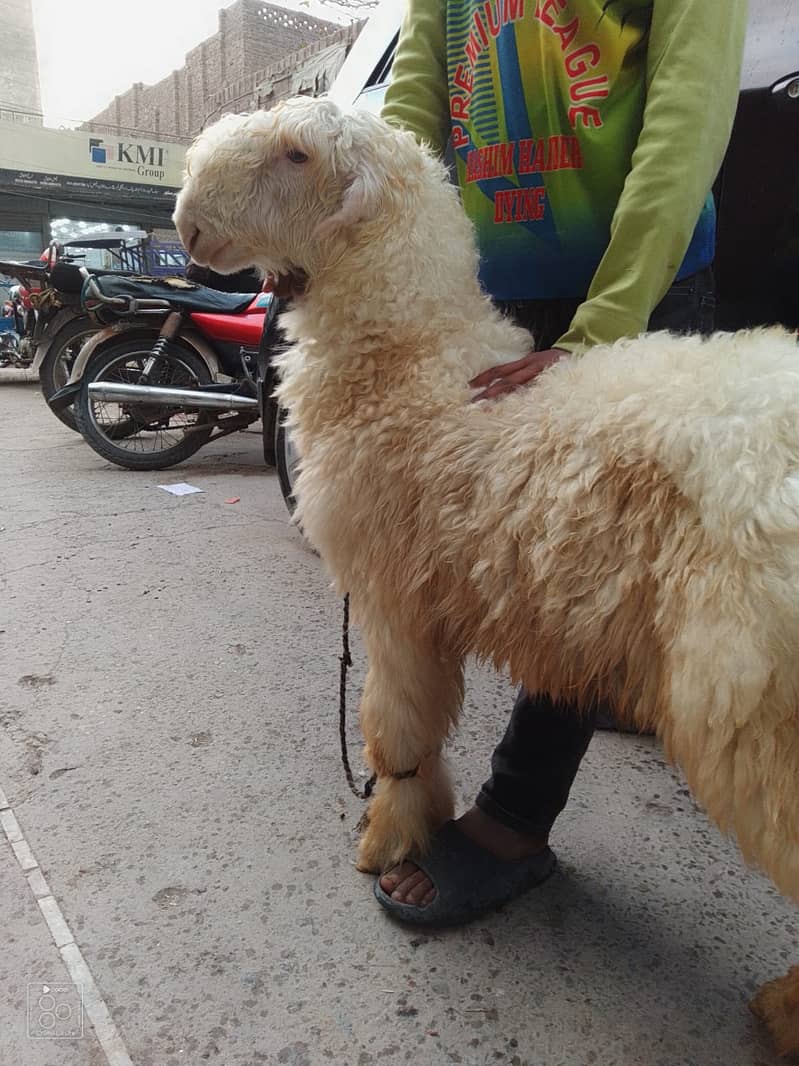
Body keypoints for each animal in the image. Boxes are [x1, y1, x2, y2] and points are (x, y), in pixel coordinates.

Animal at [174, 95, 799, 1057]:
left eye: (295, 154)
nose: (186, 222)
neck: (417, 367)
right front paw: (421, 817)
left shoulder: (392, 595)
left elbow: (394, 725)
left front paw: (392, 838)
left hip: (754, 705)